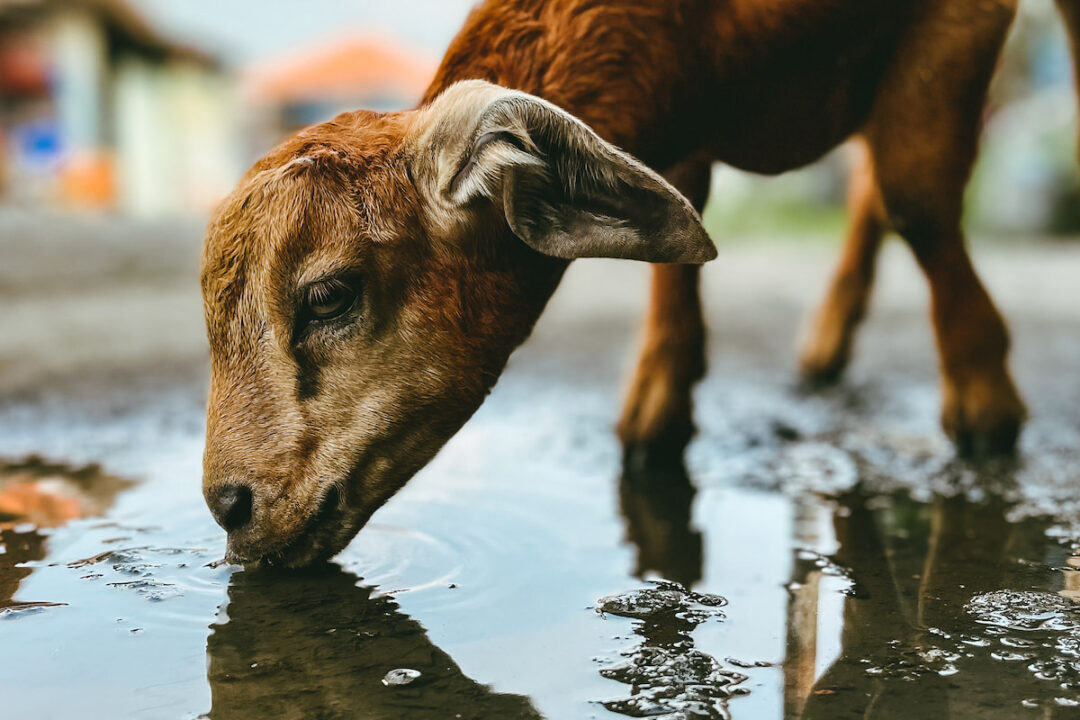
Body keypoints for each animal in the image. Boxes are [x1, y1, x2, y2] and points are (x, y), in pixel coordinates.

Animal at [201, 0, 1080, 566]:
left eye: (329, 295)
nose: (226, 506)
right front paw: (656, 413)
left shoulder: (958, 23)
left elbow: (917, 197)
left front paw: (985, 408)